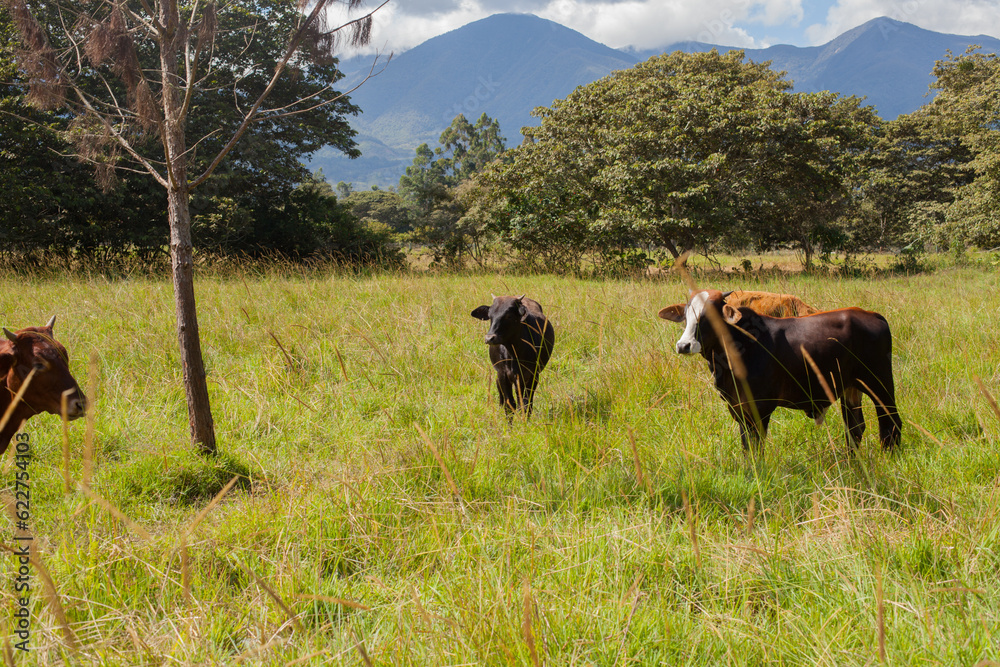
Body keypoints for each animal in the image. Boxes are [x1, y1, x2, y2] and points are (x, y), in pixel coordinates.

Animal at [658, 290, 901, 452]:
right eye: (687, 315)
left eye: (710, 316)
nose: (684, 345)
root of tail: (872, 314)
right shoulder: (738, 408)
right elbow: (747, 446)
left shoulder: (760, 409)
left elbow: (756, 448)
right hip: (851, 388)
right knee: (855, 428)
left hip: (880, 384)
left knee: (891, 423)